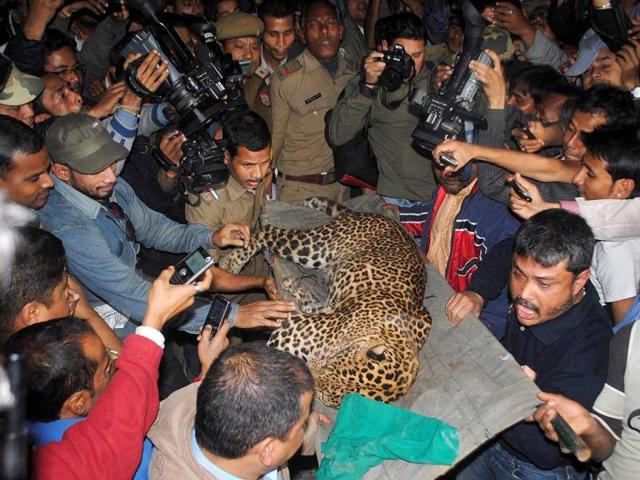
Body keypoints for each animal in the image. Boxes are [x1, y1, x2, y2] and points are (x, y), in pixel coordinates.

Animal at [219, 198, 432, 407]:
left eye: (322, 394)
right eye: (330, 367)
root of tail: (378, 216)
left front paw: (294, 287)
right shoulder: (290, 330)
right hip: (314, 247)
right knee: (267, 232)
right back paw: (231, 262)